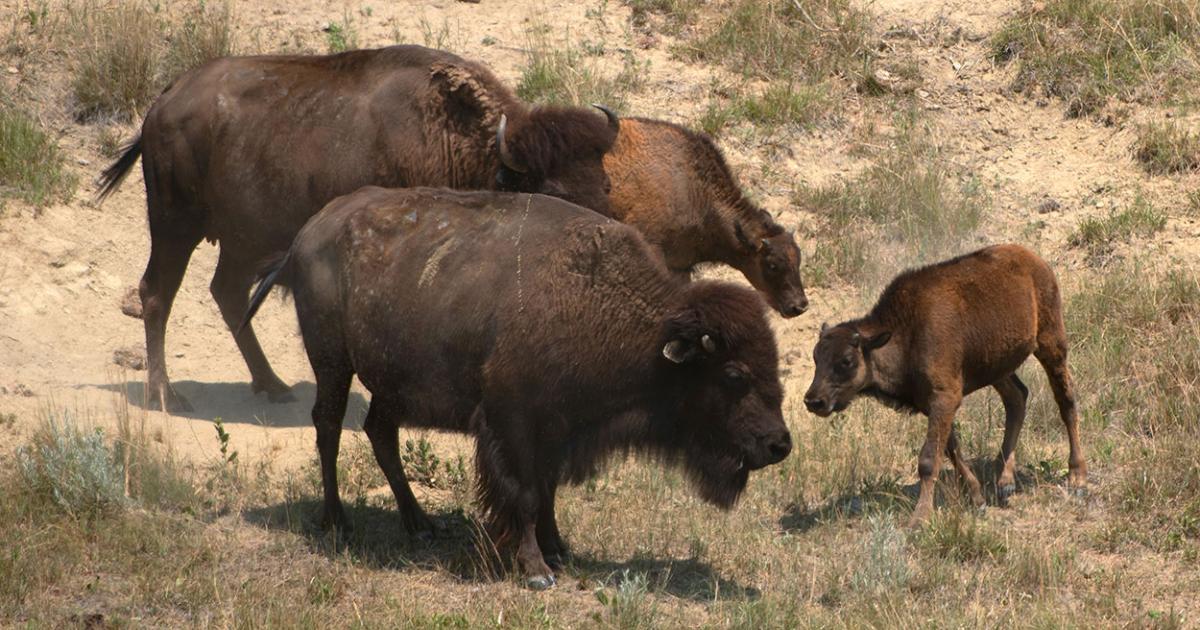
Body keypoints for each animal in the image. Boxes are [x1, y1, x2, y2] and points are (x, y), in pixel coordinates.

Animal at [97, 45, 619, 412]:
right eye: (552, 189)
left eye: (605, 183)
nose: (599, 246)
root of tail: (164, 101)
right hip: (174, 226)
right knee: (157, 293)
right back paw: (166, 396)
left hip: (242, 243)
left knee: (226, 293)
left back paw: (273, 385)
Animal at [241, 186, 792, 588]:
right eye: (734, 374)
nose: (779, 444)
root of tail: (307, 233)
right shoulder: (515, 428)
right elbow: (525, 498)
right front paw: (537, 571)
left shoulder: (555, 432)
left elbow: (546, 494)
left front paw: (559, 550)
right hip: (332, 362)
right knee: (329, 427)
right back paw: (336, 521)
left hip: (391, 384)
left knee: (380, 433)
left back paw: (421, 525)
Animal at [803, 244, 1087, 526]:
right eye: (816, 356)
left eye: (846, 360)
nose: (813, 400)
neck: (905, 333)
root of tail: (1035, 260)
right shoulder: (933, 404)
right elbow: (952, 449)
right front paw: (977, 498)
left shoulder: (944, 398)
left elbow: (929, 460)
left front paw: (919, 518)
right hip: (997, 366)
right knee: (1017, 398)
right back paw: (1005, 481)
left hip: (1051, 343)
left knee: (1066, 401)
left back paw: (1077, 477)